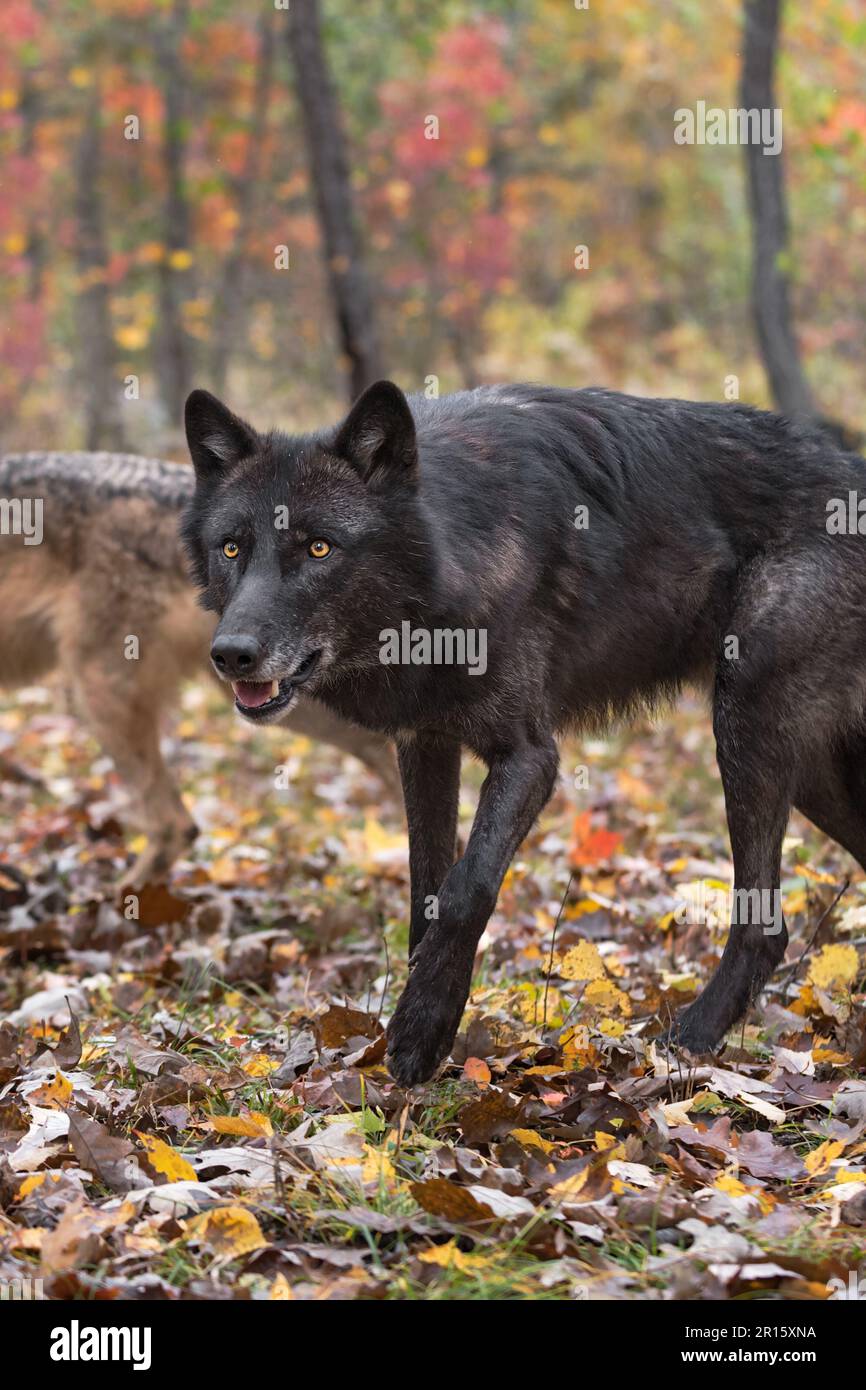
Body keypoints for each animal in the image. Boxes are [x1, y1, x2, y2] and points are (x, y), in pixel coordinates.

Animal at [181, 380, 866, 1085]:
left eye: (319, 547)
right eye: (231, 548)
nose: (231, 654)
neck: (445, 562)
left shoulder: (530, 757)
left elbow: (467, 886)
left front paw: (421, 1031)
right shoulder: (425, 745)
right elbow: (425, 892)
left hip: (746, 728)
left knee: (765, 928)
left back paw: (688, 1041)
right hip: (810, 776)